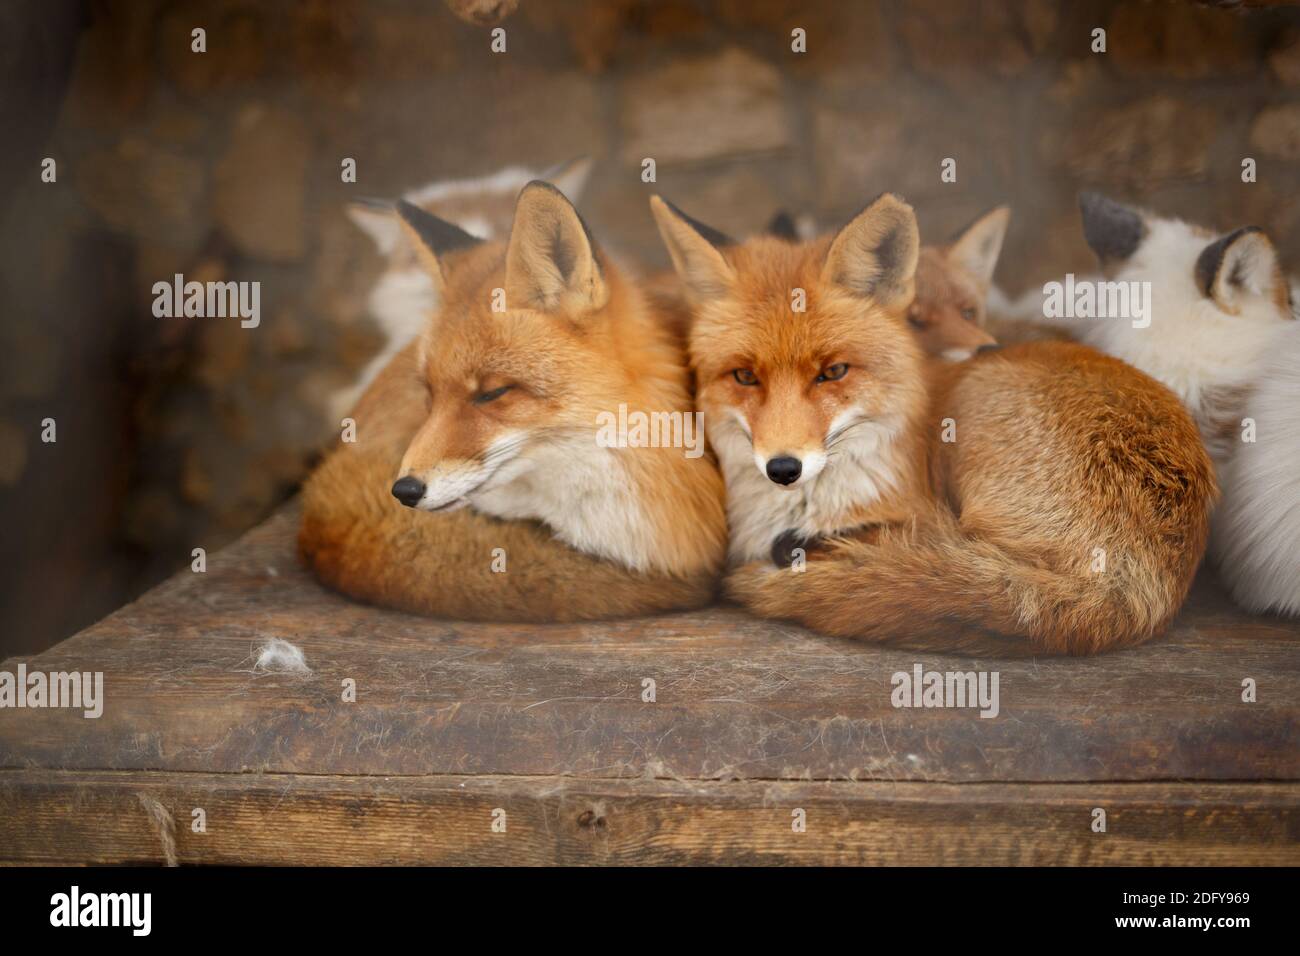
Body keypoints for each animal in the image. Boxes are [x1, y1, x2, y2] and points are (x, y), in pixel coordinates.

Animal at [650, 192, 1217, 655]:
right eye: (744, 376)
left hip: (975, 412)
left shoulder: (915, 512)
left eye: (833, 372)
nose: (784, 468)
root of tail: (1123, 588)